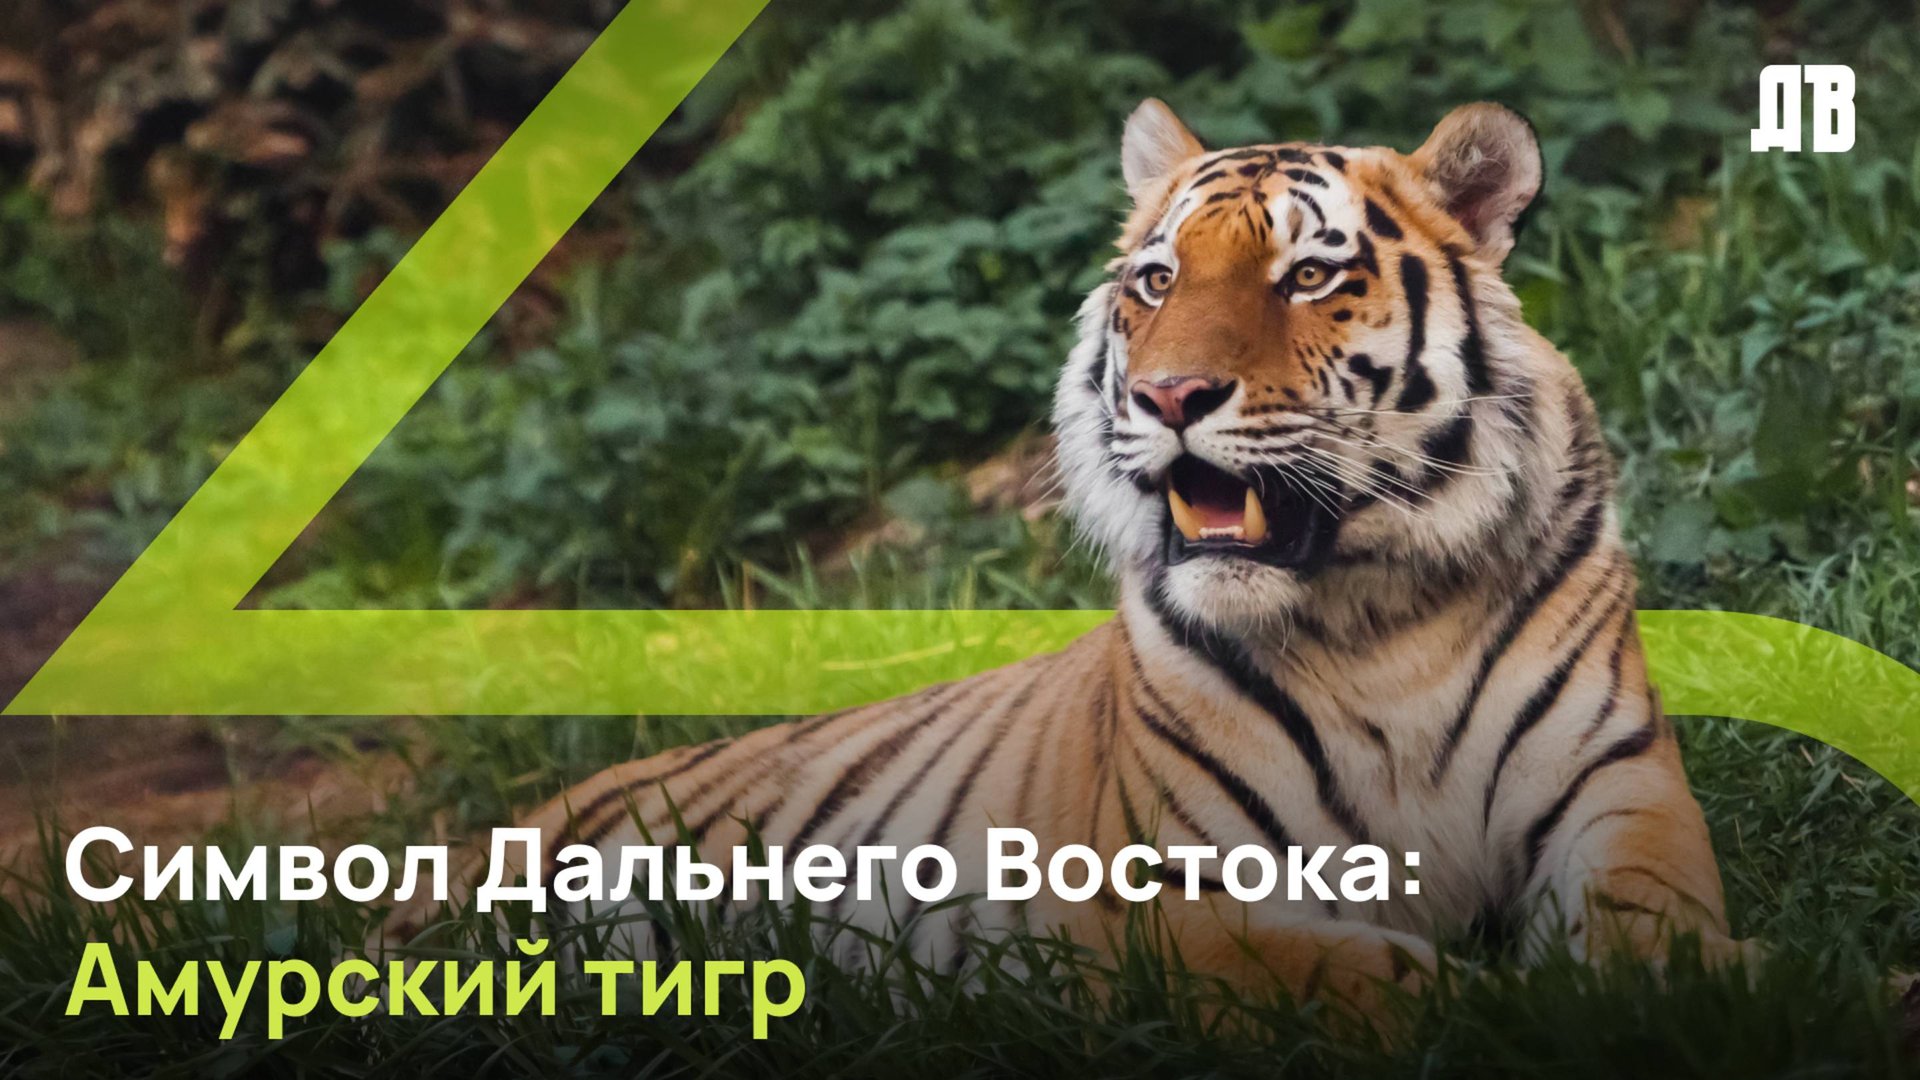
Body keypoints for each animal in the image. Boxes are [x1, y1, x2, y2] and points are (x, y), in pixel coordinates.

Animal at [428, 100, 1756, 1010]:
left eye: (1308, 274)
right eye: (1157, 281)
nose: (1171, 395)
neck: (1375, 624)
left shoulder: (1619, 793)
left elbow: (1656, 931)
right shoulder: (1159, 903)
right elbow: (1370, 980)